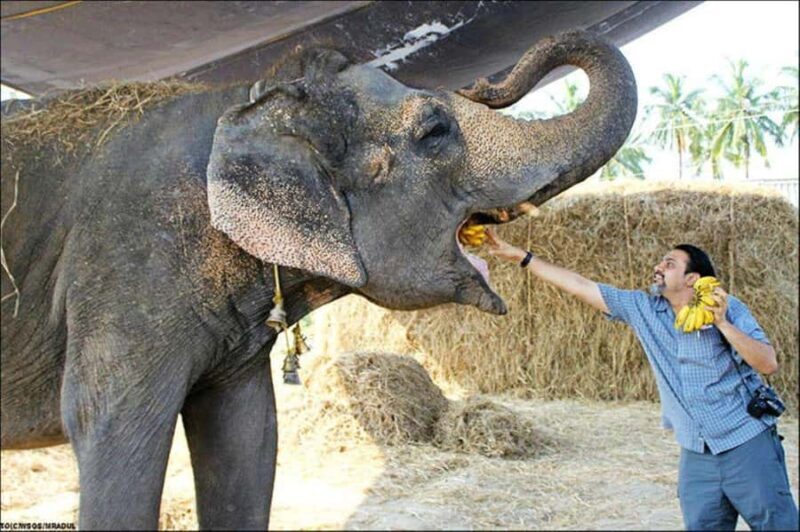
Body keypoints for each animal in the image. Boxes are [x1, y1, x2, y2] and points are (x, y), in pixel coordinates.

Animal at [0, 30, 636, 529]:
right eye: (435, 130)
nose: (485, 80)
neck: (250, 100)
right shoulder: (126, 269)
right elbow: (111, 428)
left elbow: (248, 435)